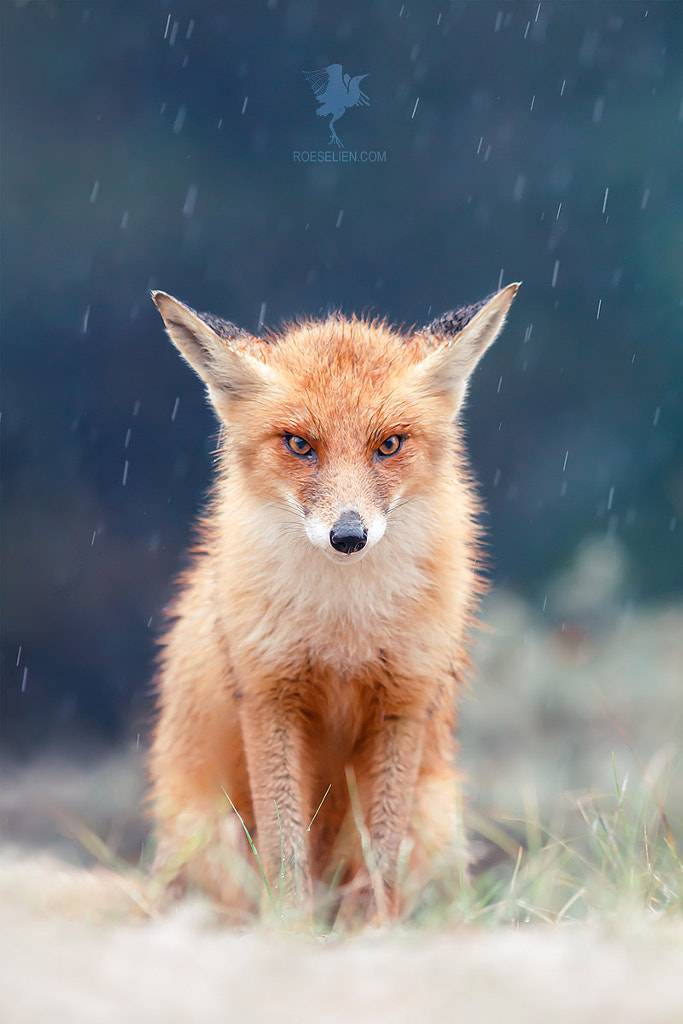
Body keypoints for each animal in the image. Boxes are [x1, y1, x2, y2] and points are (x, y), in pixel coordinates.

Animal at [149, 281, 520, 926]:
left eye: (389, 445)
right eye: (300, 445)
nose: (348, 536)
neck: (345, 628)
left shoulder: (404, 700)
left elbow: (379, 856)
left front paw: (374, 935)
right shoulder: (269, 695)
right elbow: (285, 850)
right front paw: (291, 934)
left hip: (437, 811)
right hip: (208, 831)